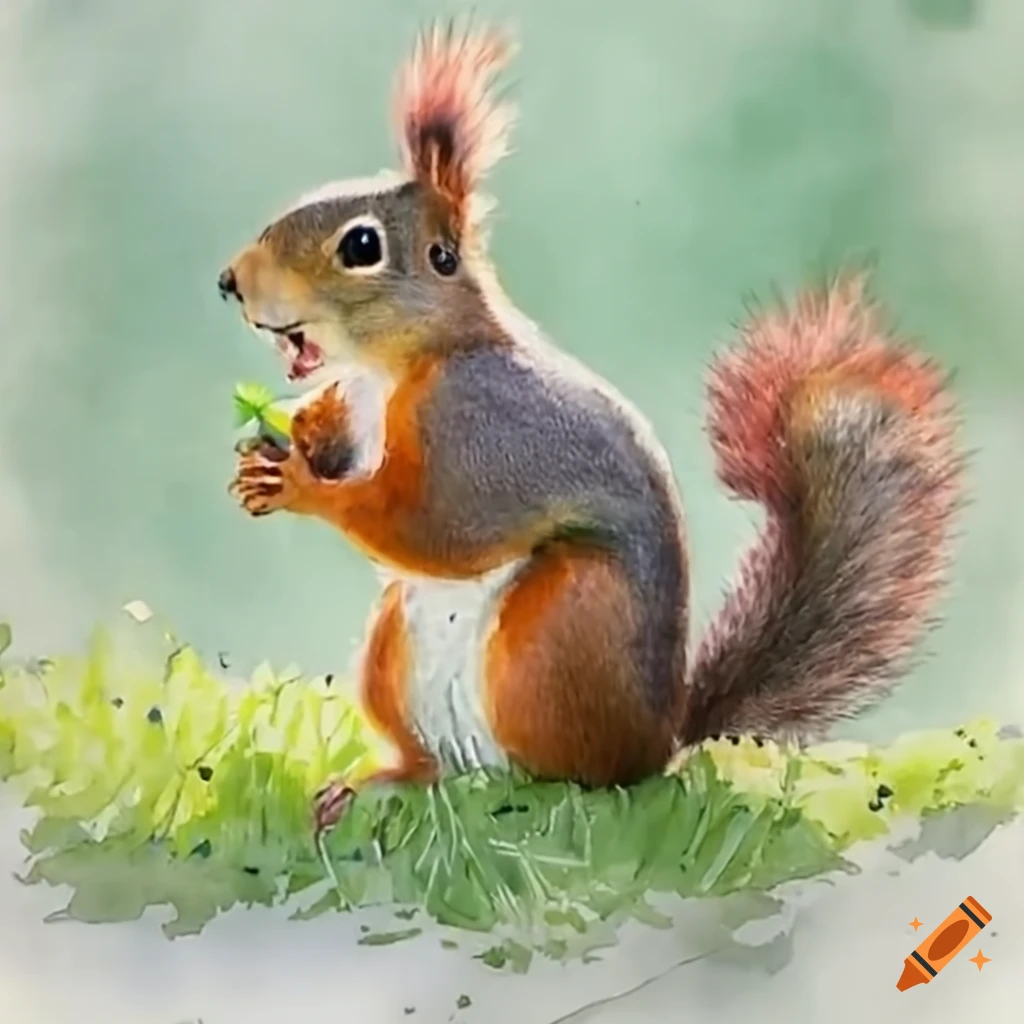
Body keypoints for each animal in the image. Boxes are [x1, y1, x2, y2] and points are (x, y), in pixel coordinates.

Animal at [220, 22, 963, 834]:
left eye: (360, 247)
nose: (231, 281)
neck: (401, 367)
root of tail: (658, 742)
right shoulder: (359, 404)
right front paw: (275, 445)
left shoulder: (480, 431)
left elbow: (430, 526)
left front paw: (300, 484)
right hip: (396, 648)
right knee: (439, 764)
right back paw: (387, 783)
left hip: (560, 625)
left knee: (580, 777)